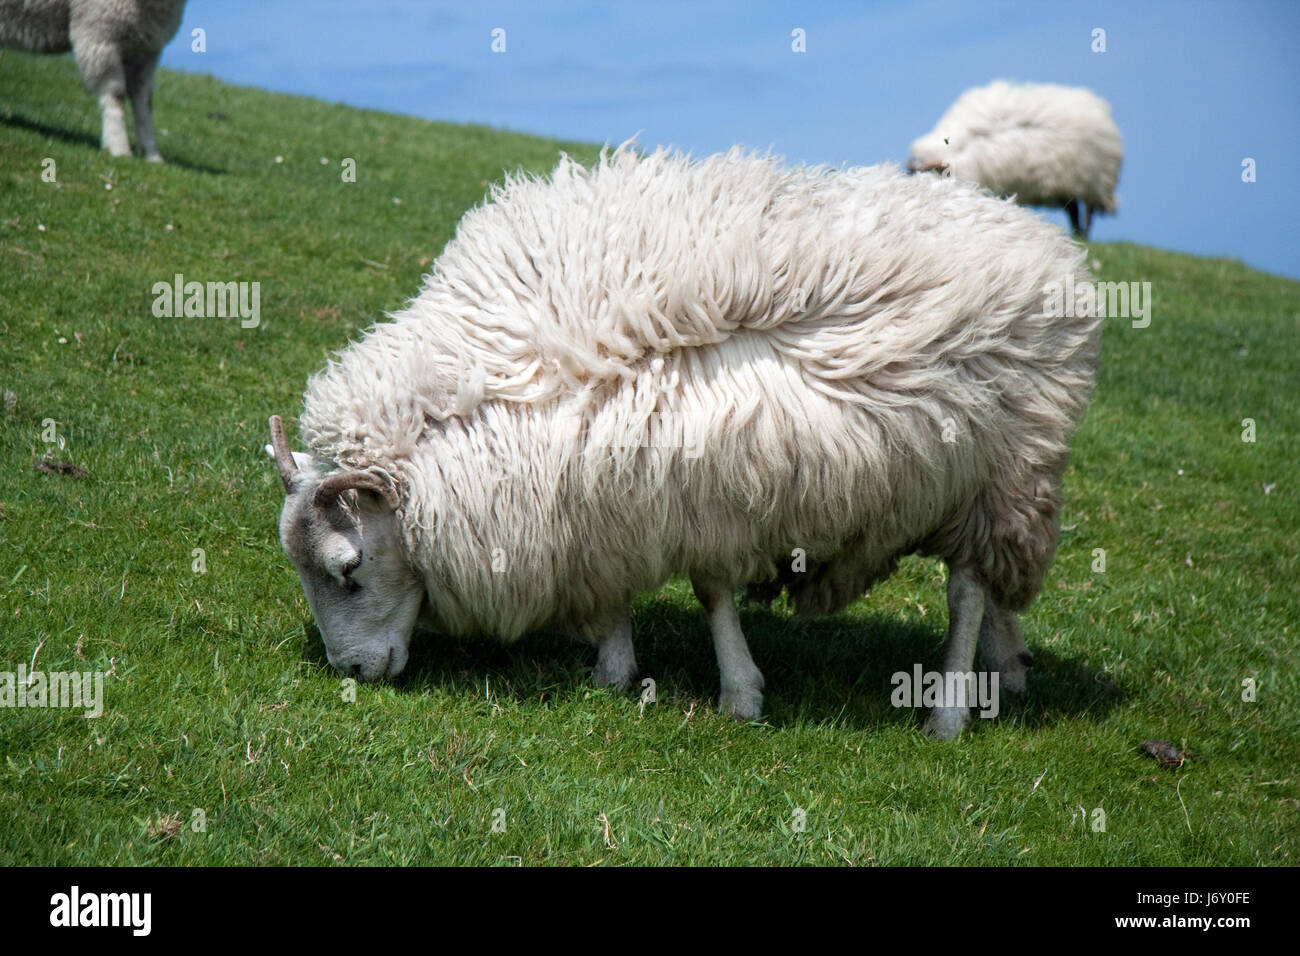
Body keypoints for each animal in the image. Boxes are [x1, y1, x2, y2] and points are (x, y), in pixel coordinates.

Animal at [0, 0, 187, 161]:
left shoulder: (146, 47)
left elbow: (144, 102)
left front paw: (151, 155)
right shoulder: (100, 33)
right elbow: (115, 96)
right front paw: (118, 148)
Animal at [267, 146, 1101, 739]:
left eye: (349, 570)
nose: (353, 670)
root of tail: (1038, 237)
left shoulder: (705, 481)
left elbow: (709, 590)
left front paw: (738, 691)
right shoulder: (605, 486)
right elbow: (614, 580)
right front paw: (613, 667)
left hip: (1000, 469)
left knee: (967, 591)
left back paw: (950, 710)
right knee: (994, 594)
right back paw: (1009, 665)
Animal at [908, 80, 1122, 239]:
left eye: (929, 173)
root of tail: (1097, 104)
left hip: (1090, 181)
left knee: (1084, 211)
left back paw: (1081, 235)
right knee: (1073, 207)